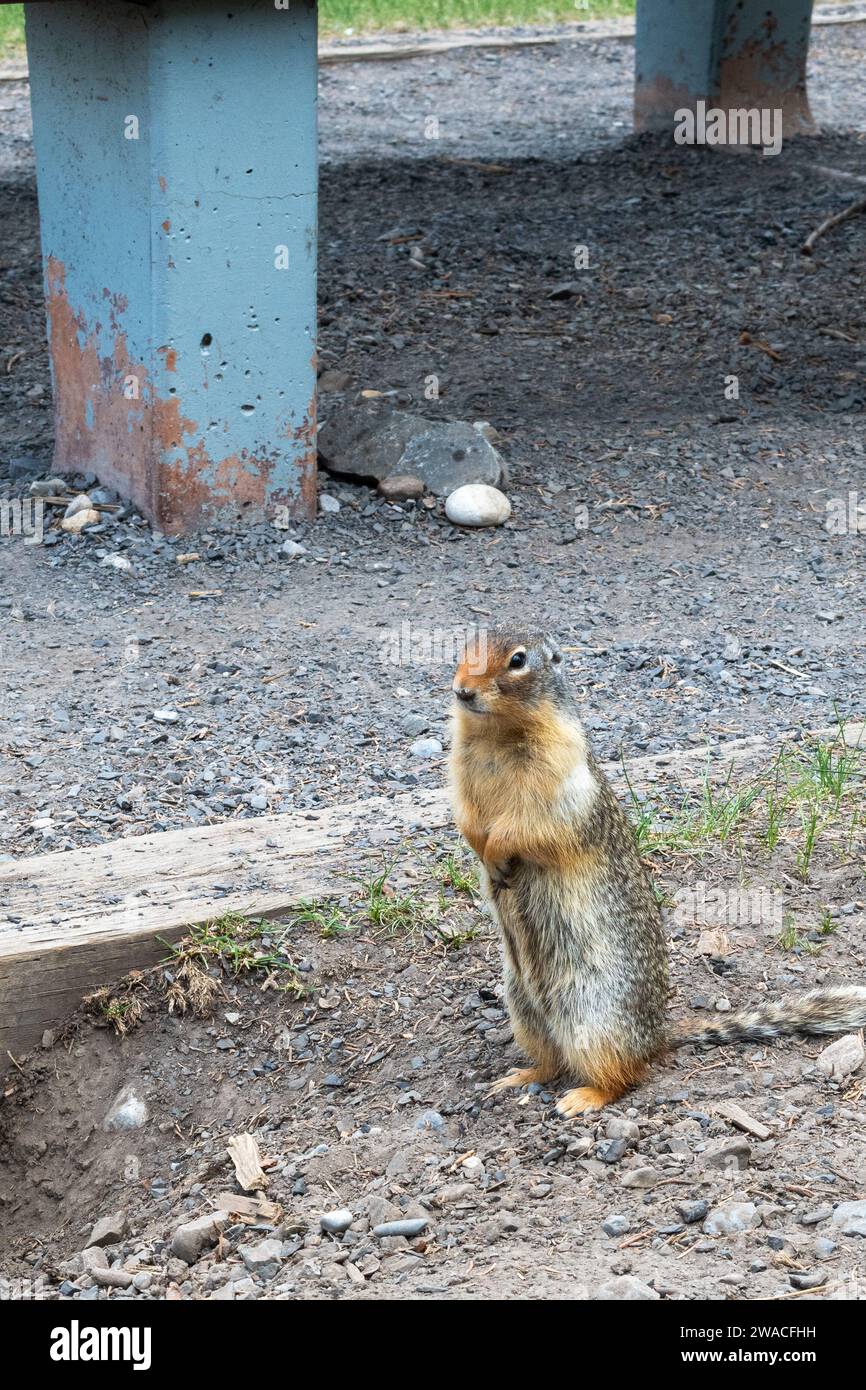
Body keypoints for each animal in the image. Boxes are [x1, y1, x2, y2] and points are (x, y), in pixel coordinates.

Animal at [448, 627, 866, 1117]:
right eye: (464, 648)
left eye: (517, 660)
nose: (462, 691)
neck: (496, 735)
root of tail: (656, 1036)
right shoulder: (460, 776)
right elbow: (467, 819)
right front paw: (482, 851)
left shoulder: (556, 779)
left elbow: (527, 826)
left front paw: (496, 850)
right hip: (523, 1008)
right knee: (551, 1061)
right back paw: (519, 1076)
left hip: (596, 1021)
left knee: (623, 1076)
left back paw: (582, 1098)